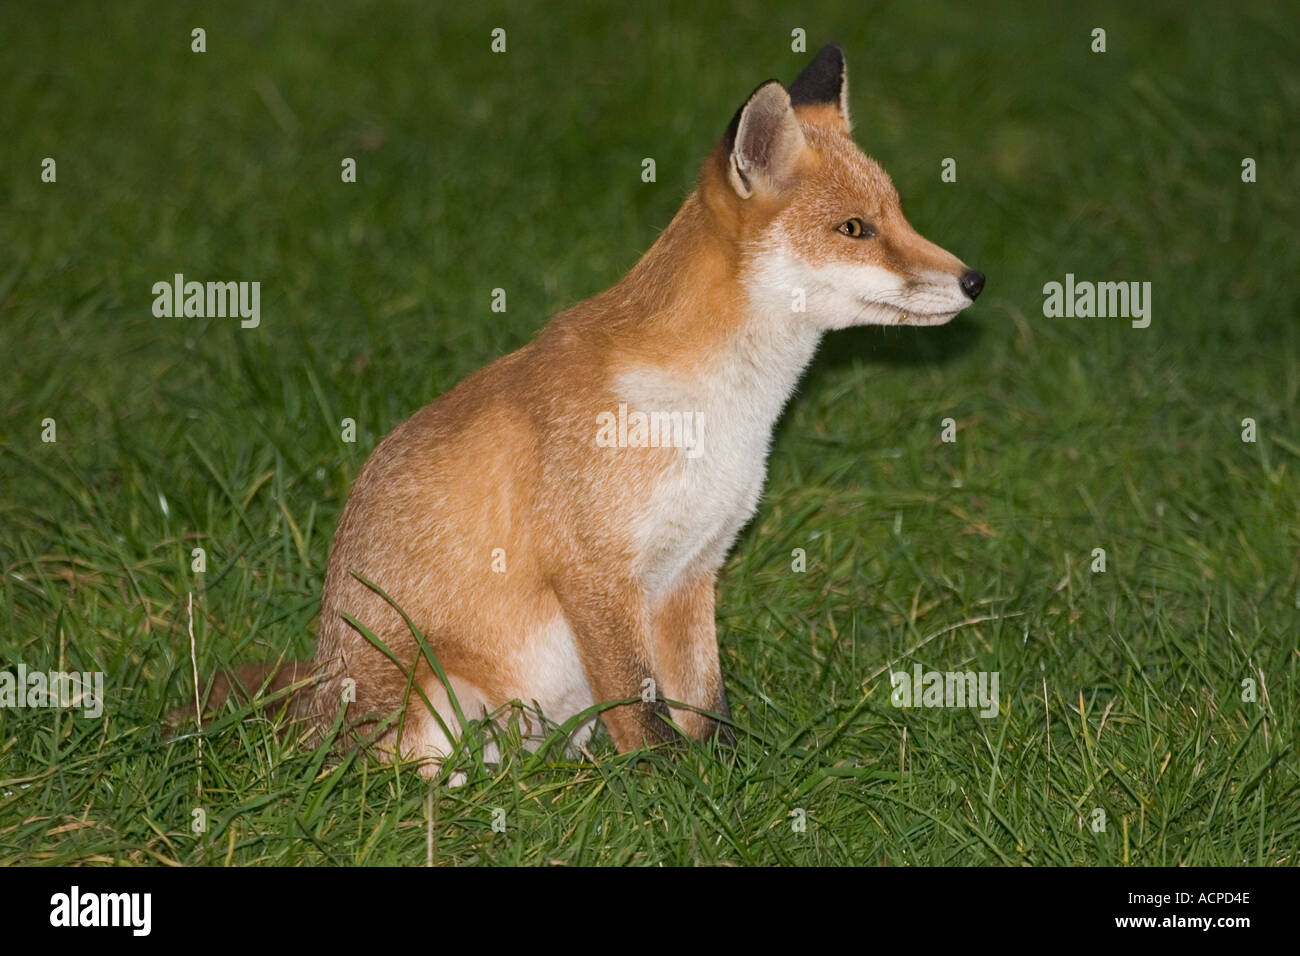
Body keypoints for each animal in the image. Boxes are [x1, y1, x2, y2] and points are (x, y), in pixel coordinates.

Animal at [188, 43, 984, 777]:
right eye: (854, 229)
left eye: (898, 214)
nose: (974, 280)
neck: (723, 414)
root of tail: (312, 715)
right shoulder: (596, 572)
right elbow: (642, 709)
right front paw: (671, 795)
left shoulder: (692, 569)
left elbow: (707, 708)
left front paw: (730, 781)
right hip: (435, 704)